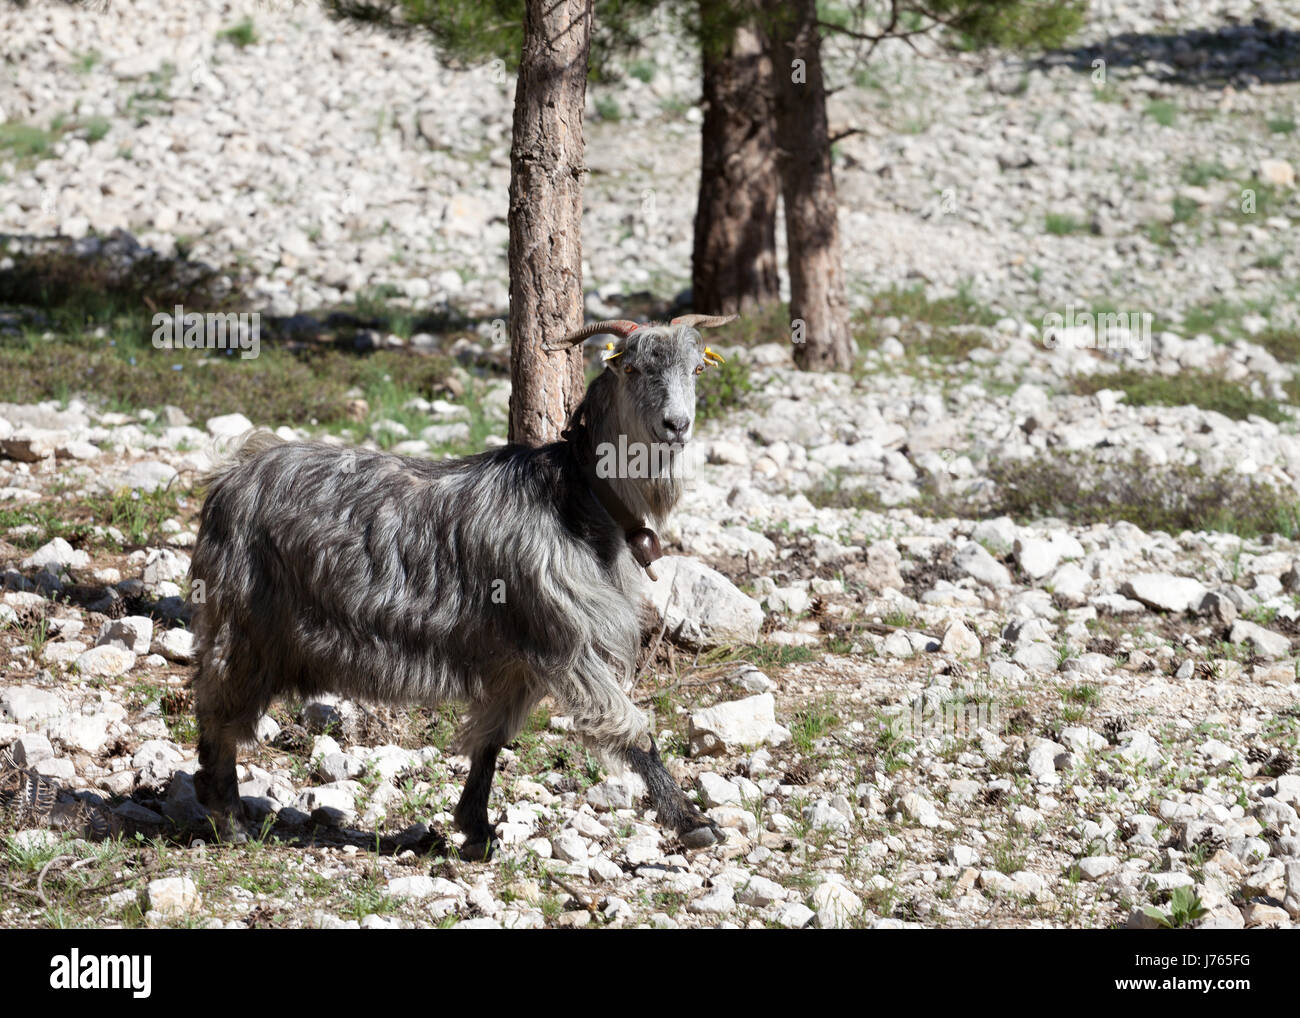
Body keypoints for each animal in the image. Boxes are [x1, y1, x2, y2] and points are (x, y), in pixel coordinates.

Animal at [189, 313, 736, 858]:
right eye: (635, 369)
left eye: (696, 370)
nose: (676, 425)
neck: (577, 498)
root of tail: (231, 474)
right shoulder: (568, 641)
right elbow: (631, 728)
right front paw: (691, 820)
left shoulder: (517, 657)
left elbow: (491, 739)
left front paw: (476, 826)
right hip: (244, 623)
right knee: (217, 710)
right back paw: (228, 817)